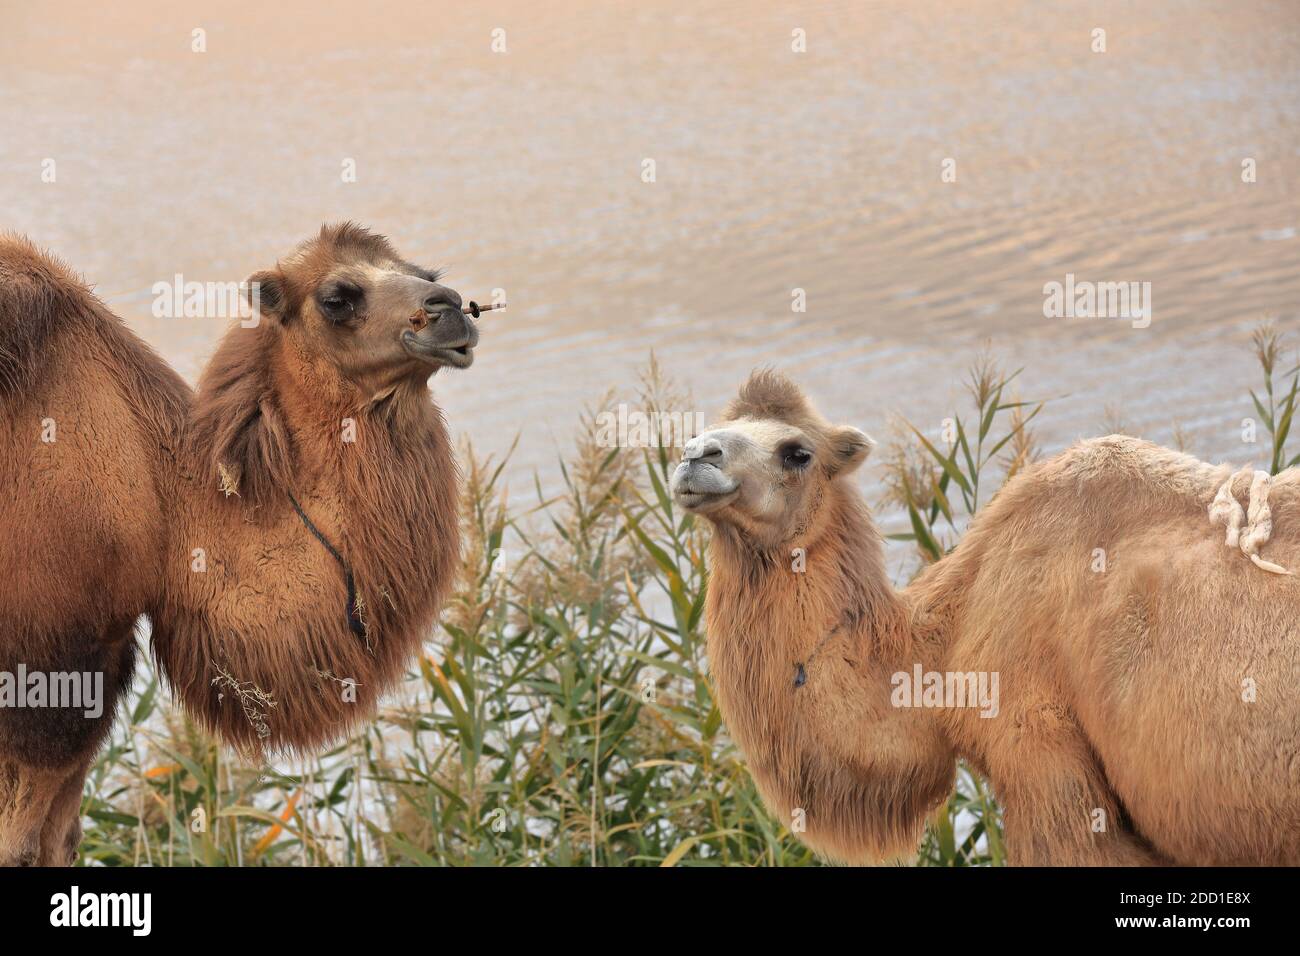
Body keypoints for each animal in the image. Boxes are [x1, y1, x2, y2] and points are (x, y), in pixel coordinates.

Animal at [0, 224, 475, 865]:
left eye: (425, 274)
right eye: (337, 298)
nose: (450, 310)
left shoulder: (99, 662)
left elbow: (60, 838)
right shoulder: (45, 666)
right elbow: (21, 843)